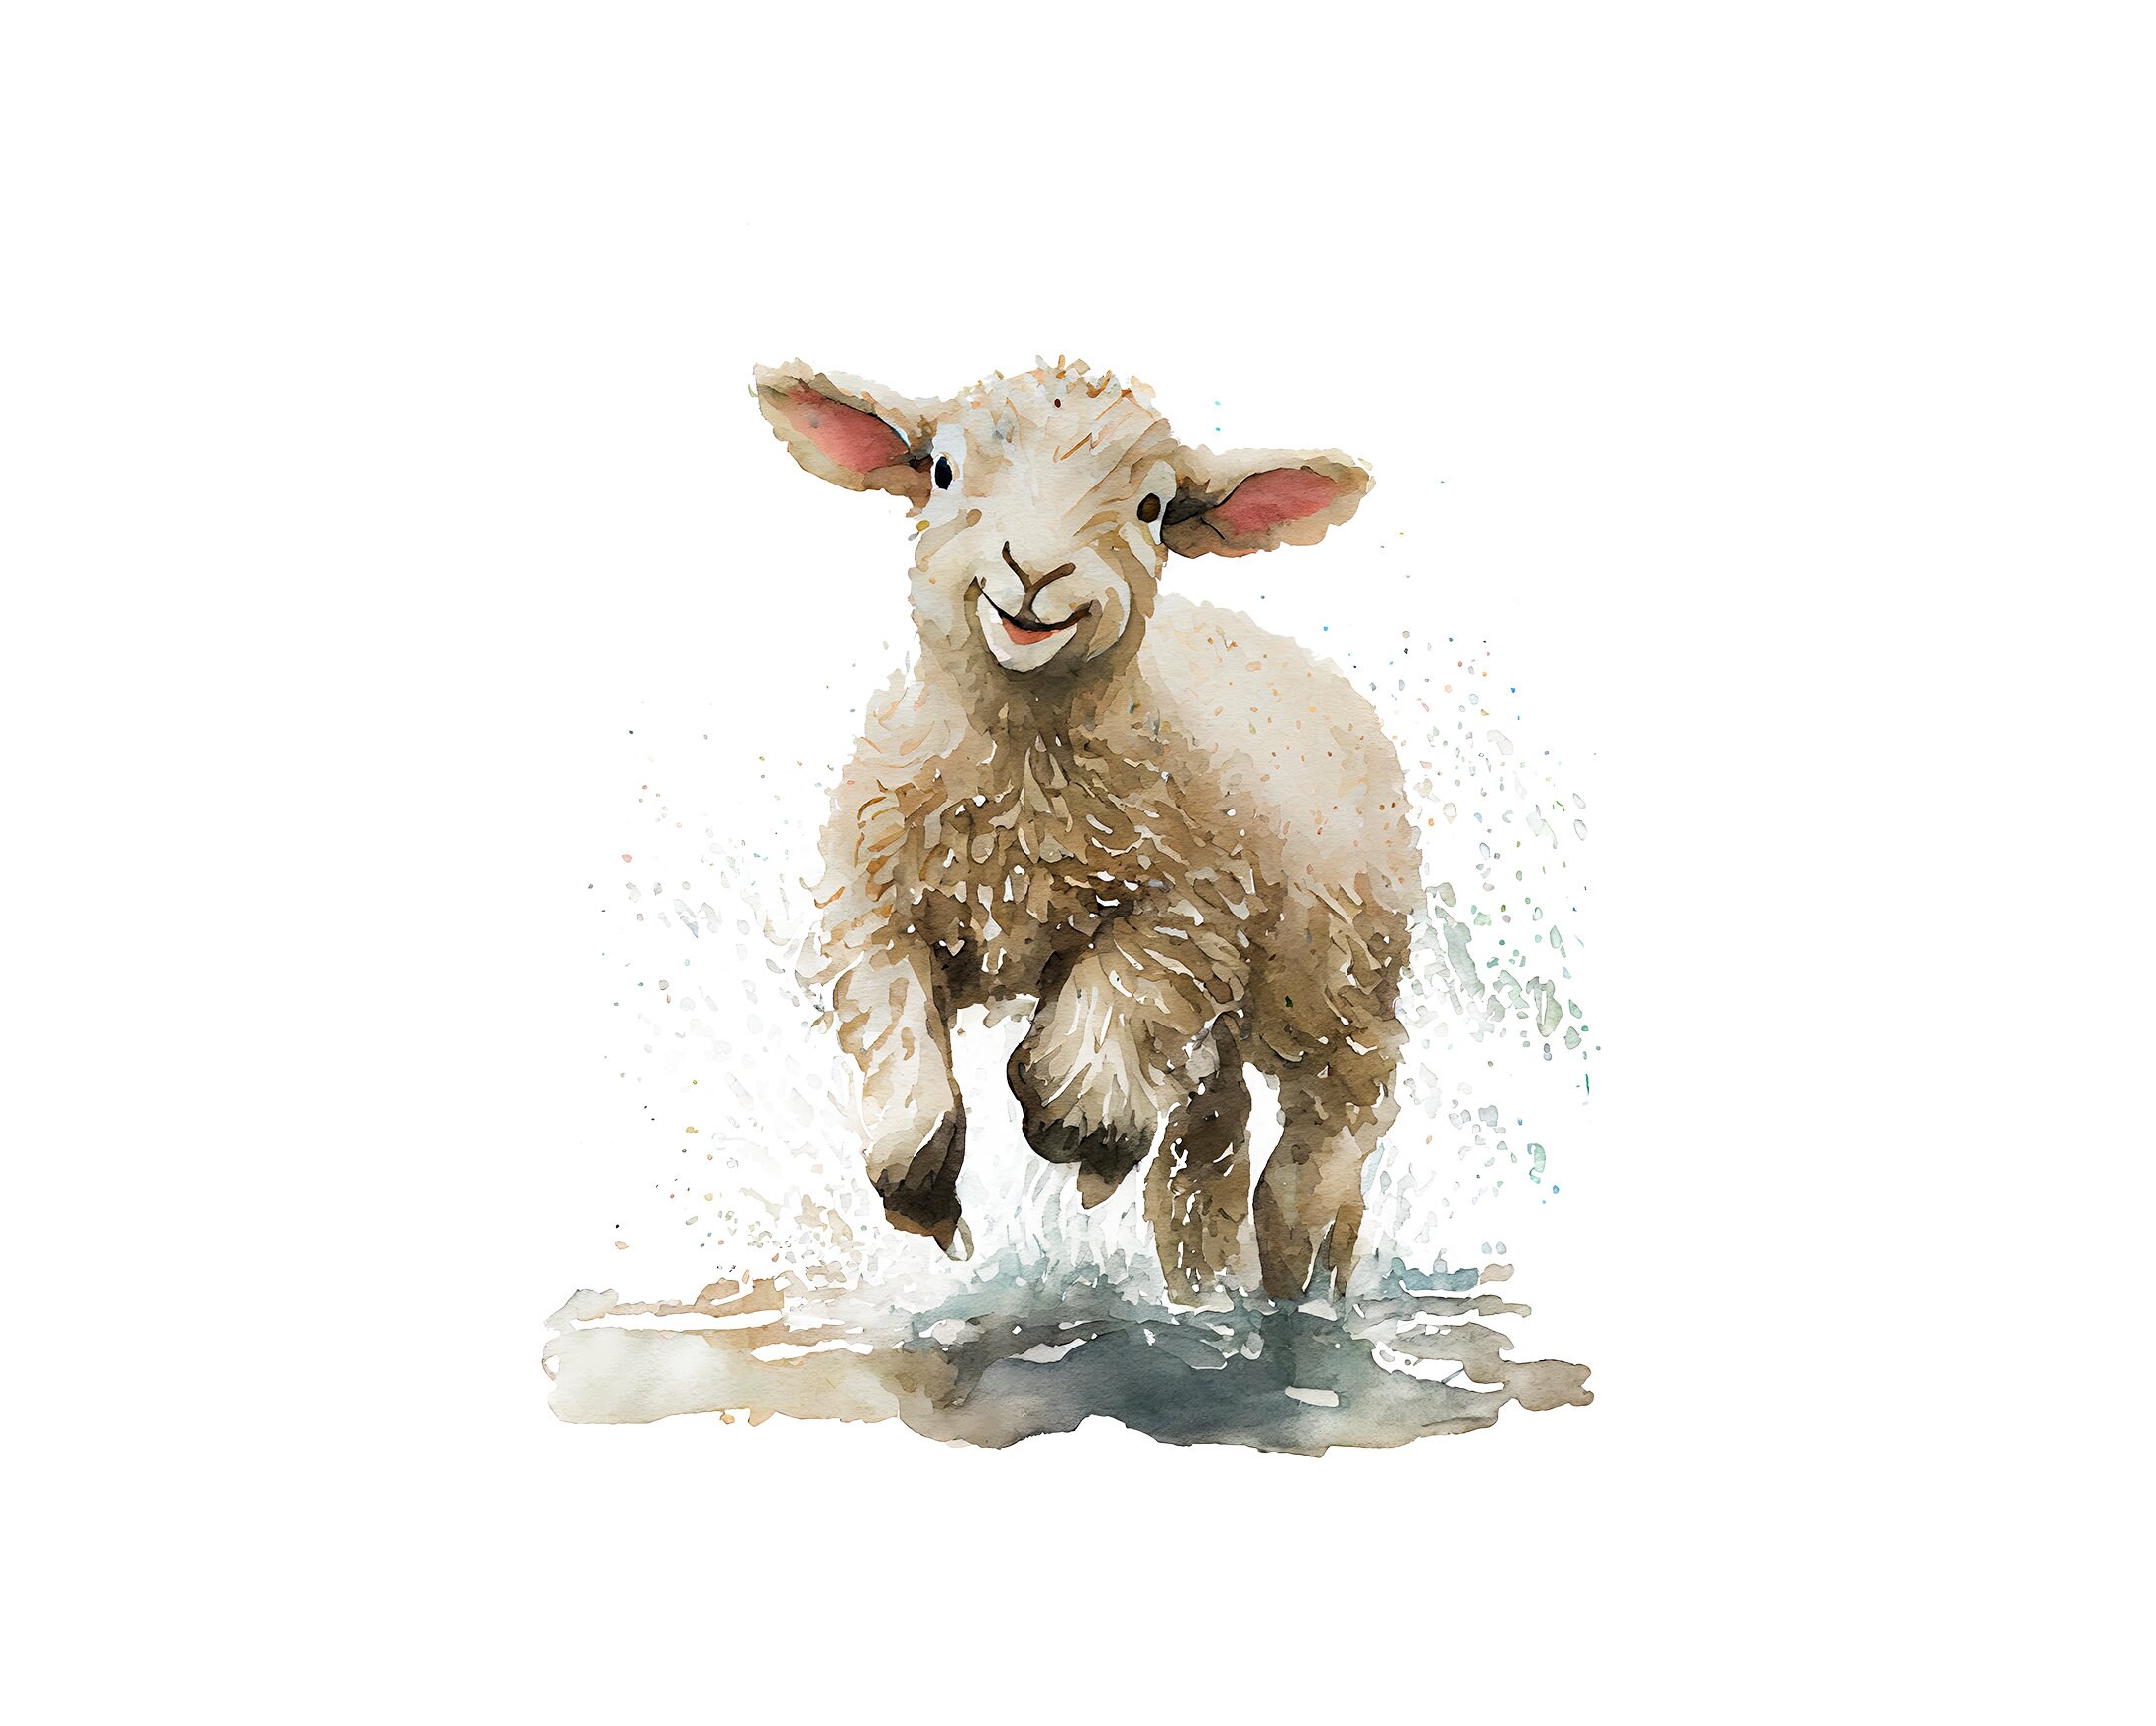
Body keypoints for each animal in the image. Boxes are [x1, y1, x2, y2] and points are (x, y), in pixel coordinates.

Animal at [753, 358, 1422, 1302]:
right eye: (942, 470)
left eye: (1152, 508)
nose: (1034, 573)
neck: (1023, 792)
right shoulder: (873, 912)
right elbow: (907, 1086)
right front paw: (929, 1200)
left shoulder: (1182, 920)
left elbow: (1087, 1052)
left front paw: (1080, 1130)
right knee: (1213, 1136)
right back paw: (1205, 1277)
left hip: (1335, 974)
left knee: (1340, 1109)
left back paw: (1303, 1255)